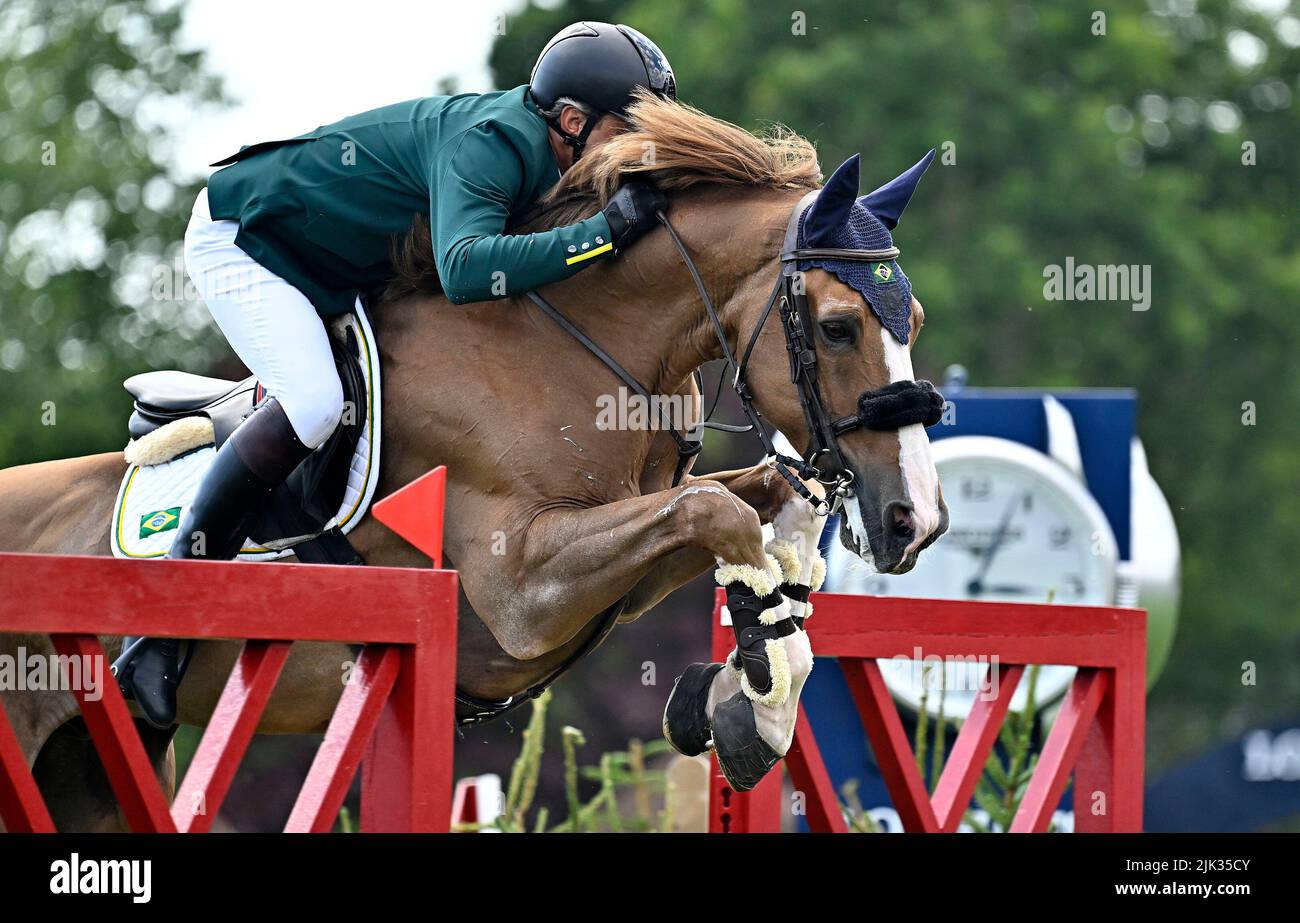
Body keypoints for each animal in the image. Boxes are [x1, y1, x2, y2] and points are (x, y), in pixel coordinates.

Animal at [0, 95, 947, 830]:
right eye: (838, 327)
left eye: (914, 321)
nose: (918, 520)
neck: (574, 348)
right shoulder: (522, 585)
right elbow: (717, 512)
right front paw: (756, 701)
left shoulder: (623, 565)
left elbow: (761, 513)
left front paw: (752, 689)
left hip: (88, 768)